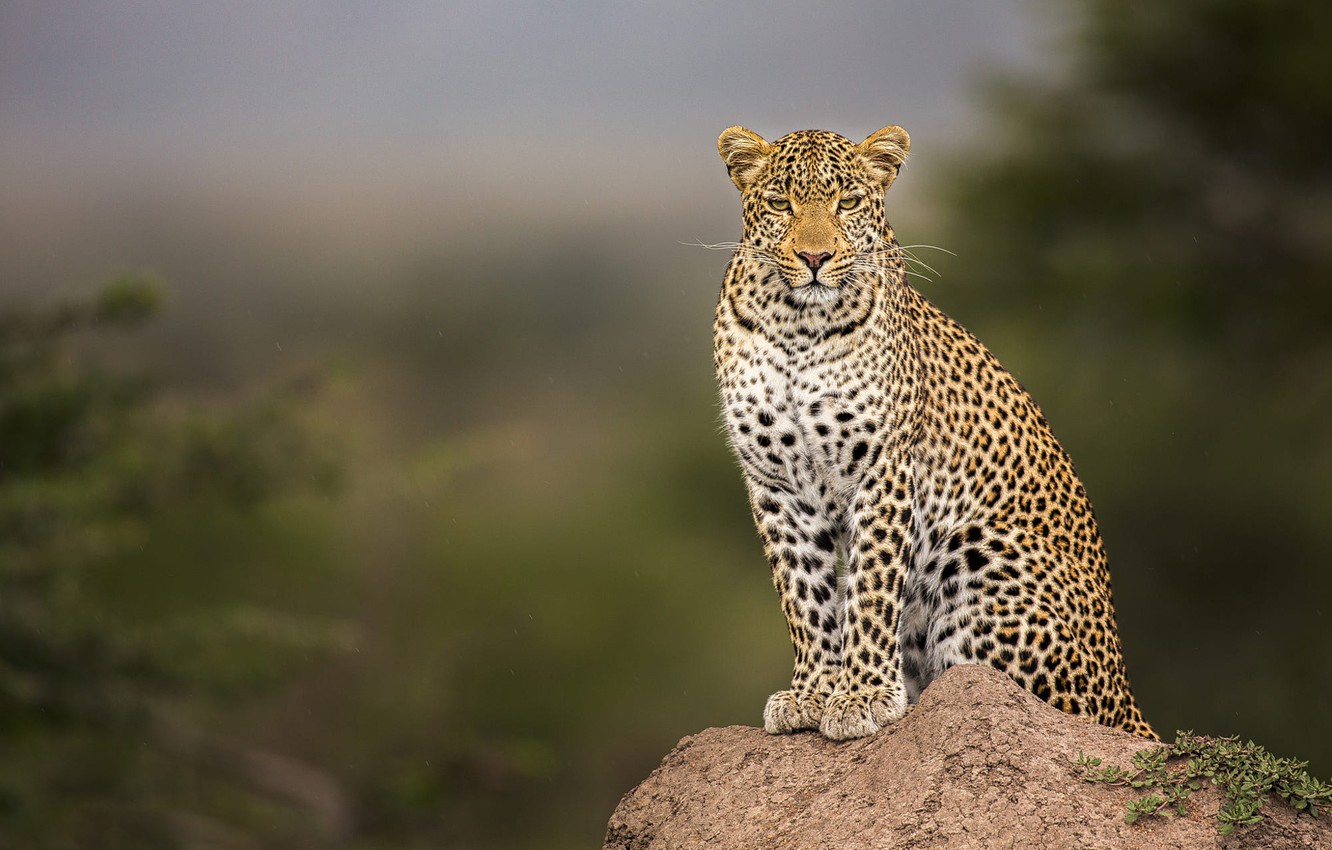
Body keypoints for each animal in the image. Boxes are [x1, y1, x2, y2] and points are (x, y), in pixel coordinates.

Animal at [712, 124, 1155, 742]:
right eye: (781, 203)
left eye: (848, 201)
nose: (815, 257)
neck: (798, 325)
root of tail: (1128, 700)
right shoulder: (776, 484)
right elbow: (803, 595)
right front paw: (811, 692)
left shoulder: (883, 470)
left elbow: (870, 590)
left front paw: (862, 694)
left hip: (979, 549)